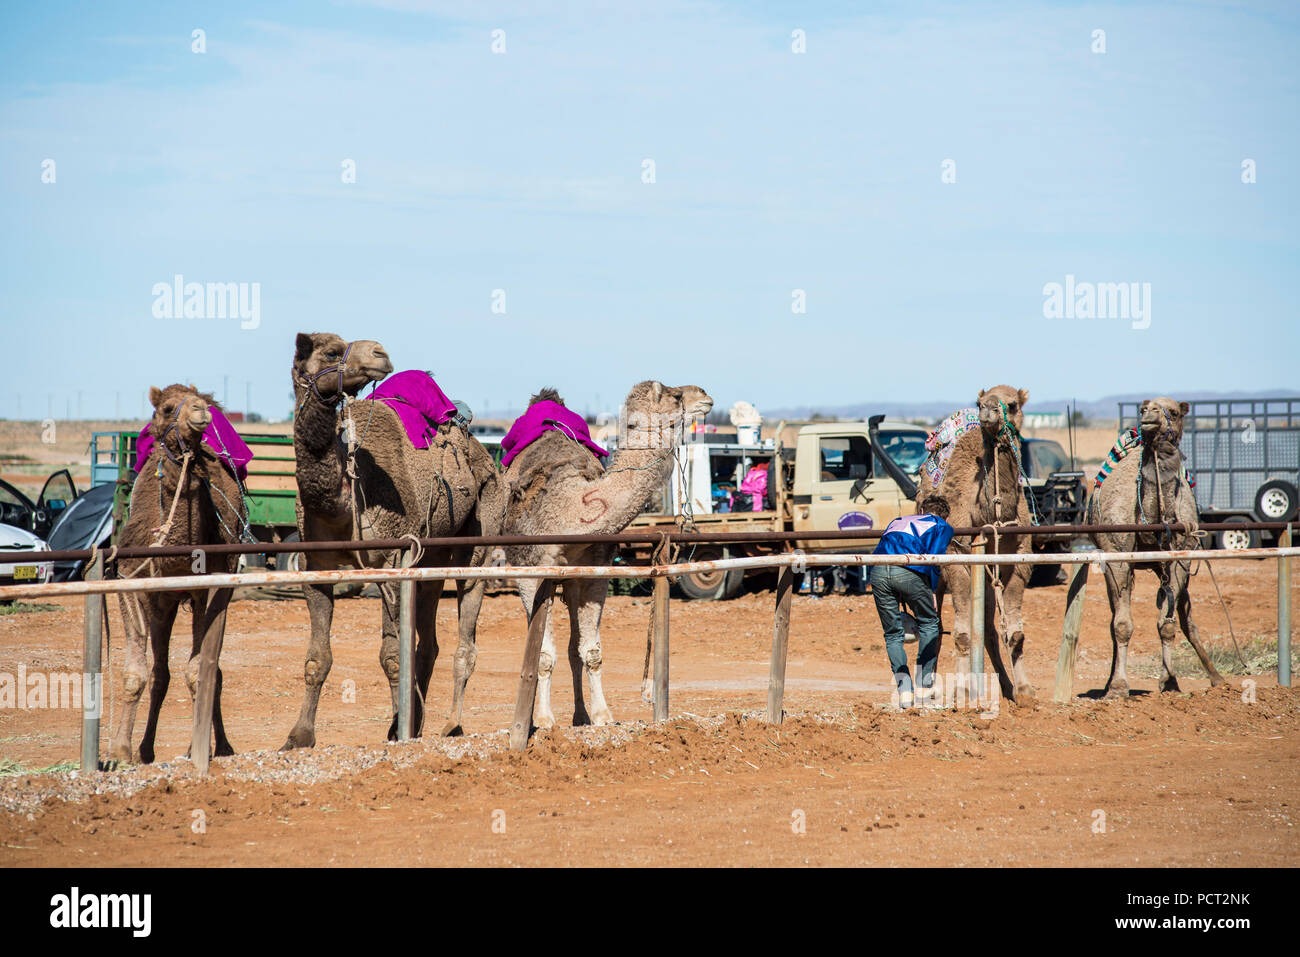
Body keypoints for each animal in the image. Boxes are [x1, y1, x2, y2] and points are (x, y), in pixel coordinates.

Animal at [108, 384, 246, 763]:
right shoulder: (133, 579)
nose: (201, 411)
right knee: (161, 673)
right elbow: (136, 673)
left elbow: (200, 670)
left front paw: (200, 748)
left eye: (205, 404)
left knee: (213, 669)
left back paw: (222, 745)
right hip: (165, 603)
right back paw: (146, 748)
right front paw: (120, 751)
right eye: (168, 408)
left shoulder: (209, 588)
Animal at [282, 332, 502, 749]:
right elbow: (317, 657)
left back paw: (451, 723)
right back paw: (420, 720)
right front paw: (298, 736)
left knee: (466, 634)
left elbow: (390, 655)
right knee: (427, 643)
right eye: (331, 351)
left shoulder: (391, 562)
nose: (379, 353)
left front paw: (398, 728)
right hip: (431, 555)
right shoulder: (314, 565)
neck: (345, 500)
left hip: (483, 531)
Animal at [442, 381, 712, 733]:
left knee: (573, 647)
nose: (704, 395)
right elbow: (543, 655)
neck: (572, 509)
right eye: (675, 395)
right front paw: (544, 719)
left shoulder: (595, 572)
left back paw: (579, 715)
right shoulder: (529, 573)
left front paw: (601, 715)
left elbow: (590, 650)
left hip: (570, 580)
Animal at [936, 385, 1036, 704]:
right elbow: (963, 633)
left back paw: (1003, 685)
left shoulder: (1019, 562)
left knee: (990, 629)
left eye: (1012, 404)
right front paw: (961, 691)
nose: (987, 410)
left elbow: (1014, 634)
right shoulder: (956, 558)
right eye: (979, 401)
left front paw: (1024, 690)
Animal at [1087, 397, 1225, 696]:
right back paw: (1107, 682)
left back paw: (1217, 678)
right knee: (1115, 617)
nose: (1149, 414)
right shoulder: (1117, 559)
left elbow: (1167, 624)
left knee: (1185, 618)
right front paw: (1118, 687)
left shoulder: (1180, 560)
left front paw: (1169, 682)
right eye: (1143, 408)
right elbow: (1121, 625)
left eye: (1173, 411)